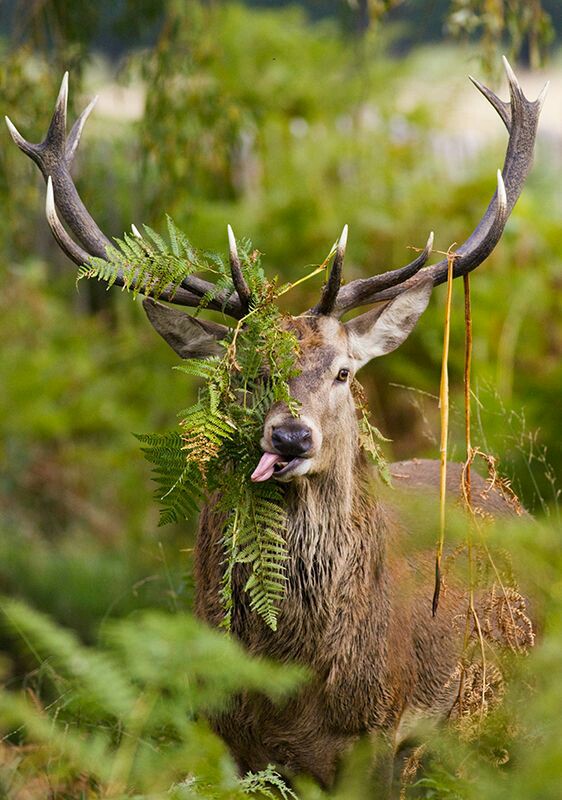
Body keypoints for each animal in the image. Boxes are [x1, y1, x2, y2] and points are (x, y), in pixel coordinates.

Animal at [6, 59, 545, 790]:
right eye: (245, 373)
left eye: (343, 372)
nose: (290, 437)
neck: (295, 690)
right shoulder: (227, 737)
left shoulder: (384, 734)